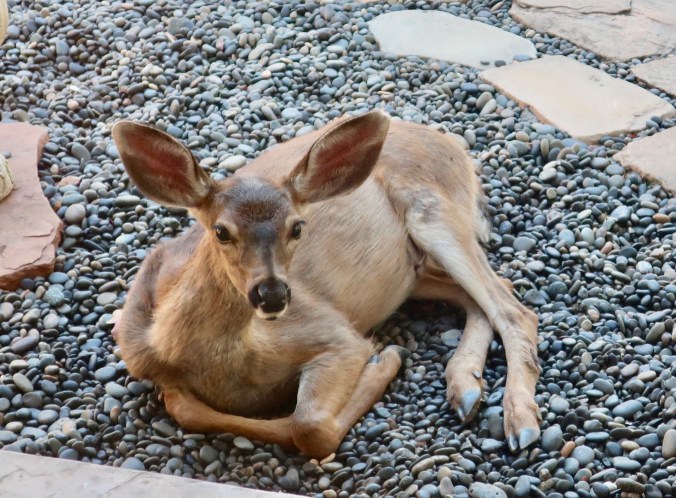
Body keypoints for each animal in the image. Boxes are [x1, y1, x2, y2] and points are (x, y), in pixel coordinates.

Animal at [111, 110, 542, 459]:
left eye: (297, 227)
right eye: (221, 231)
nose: (272, 294)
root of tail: (455, 147)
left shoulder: (335, 336)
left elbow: (308, 426)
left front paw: (385, 360)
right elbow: (185, 408)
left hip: (434, 211)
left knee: (514, 309)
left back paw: (521, 423)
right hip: (415, 270)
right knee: (483, 295)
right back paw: (465, 388)